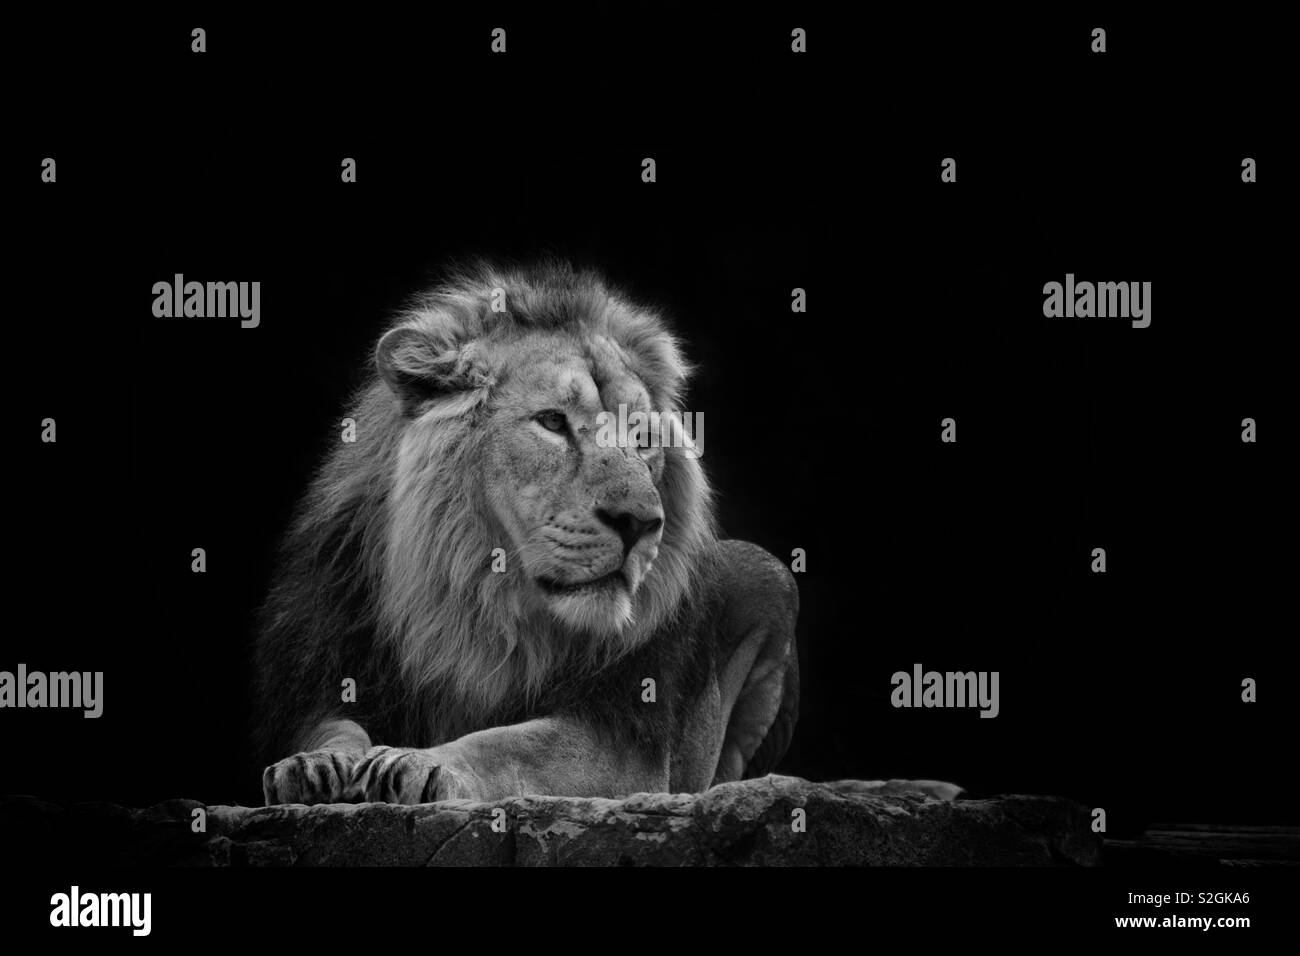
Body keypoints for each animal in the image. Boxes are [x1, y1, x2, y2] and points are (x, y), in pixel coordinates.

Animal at [255, 261, 802, 804]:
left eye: (642, 438)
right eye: (553, 422)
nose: (643, 523)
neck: (483, 608)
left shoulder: (627, 746)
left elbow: (508, 745)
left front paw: (417, 761)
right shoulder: (329, 670)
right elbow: (332, 727)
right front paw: (311, 764)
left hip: (768, 573)